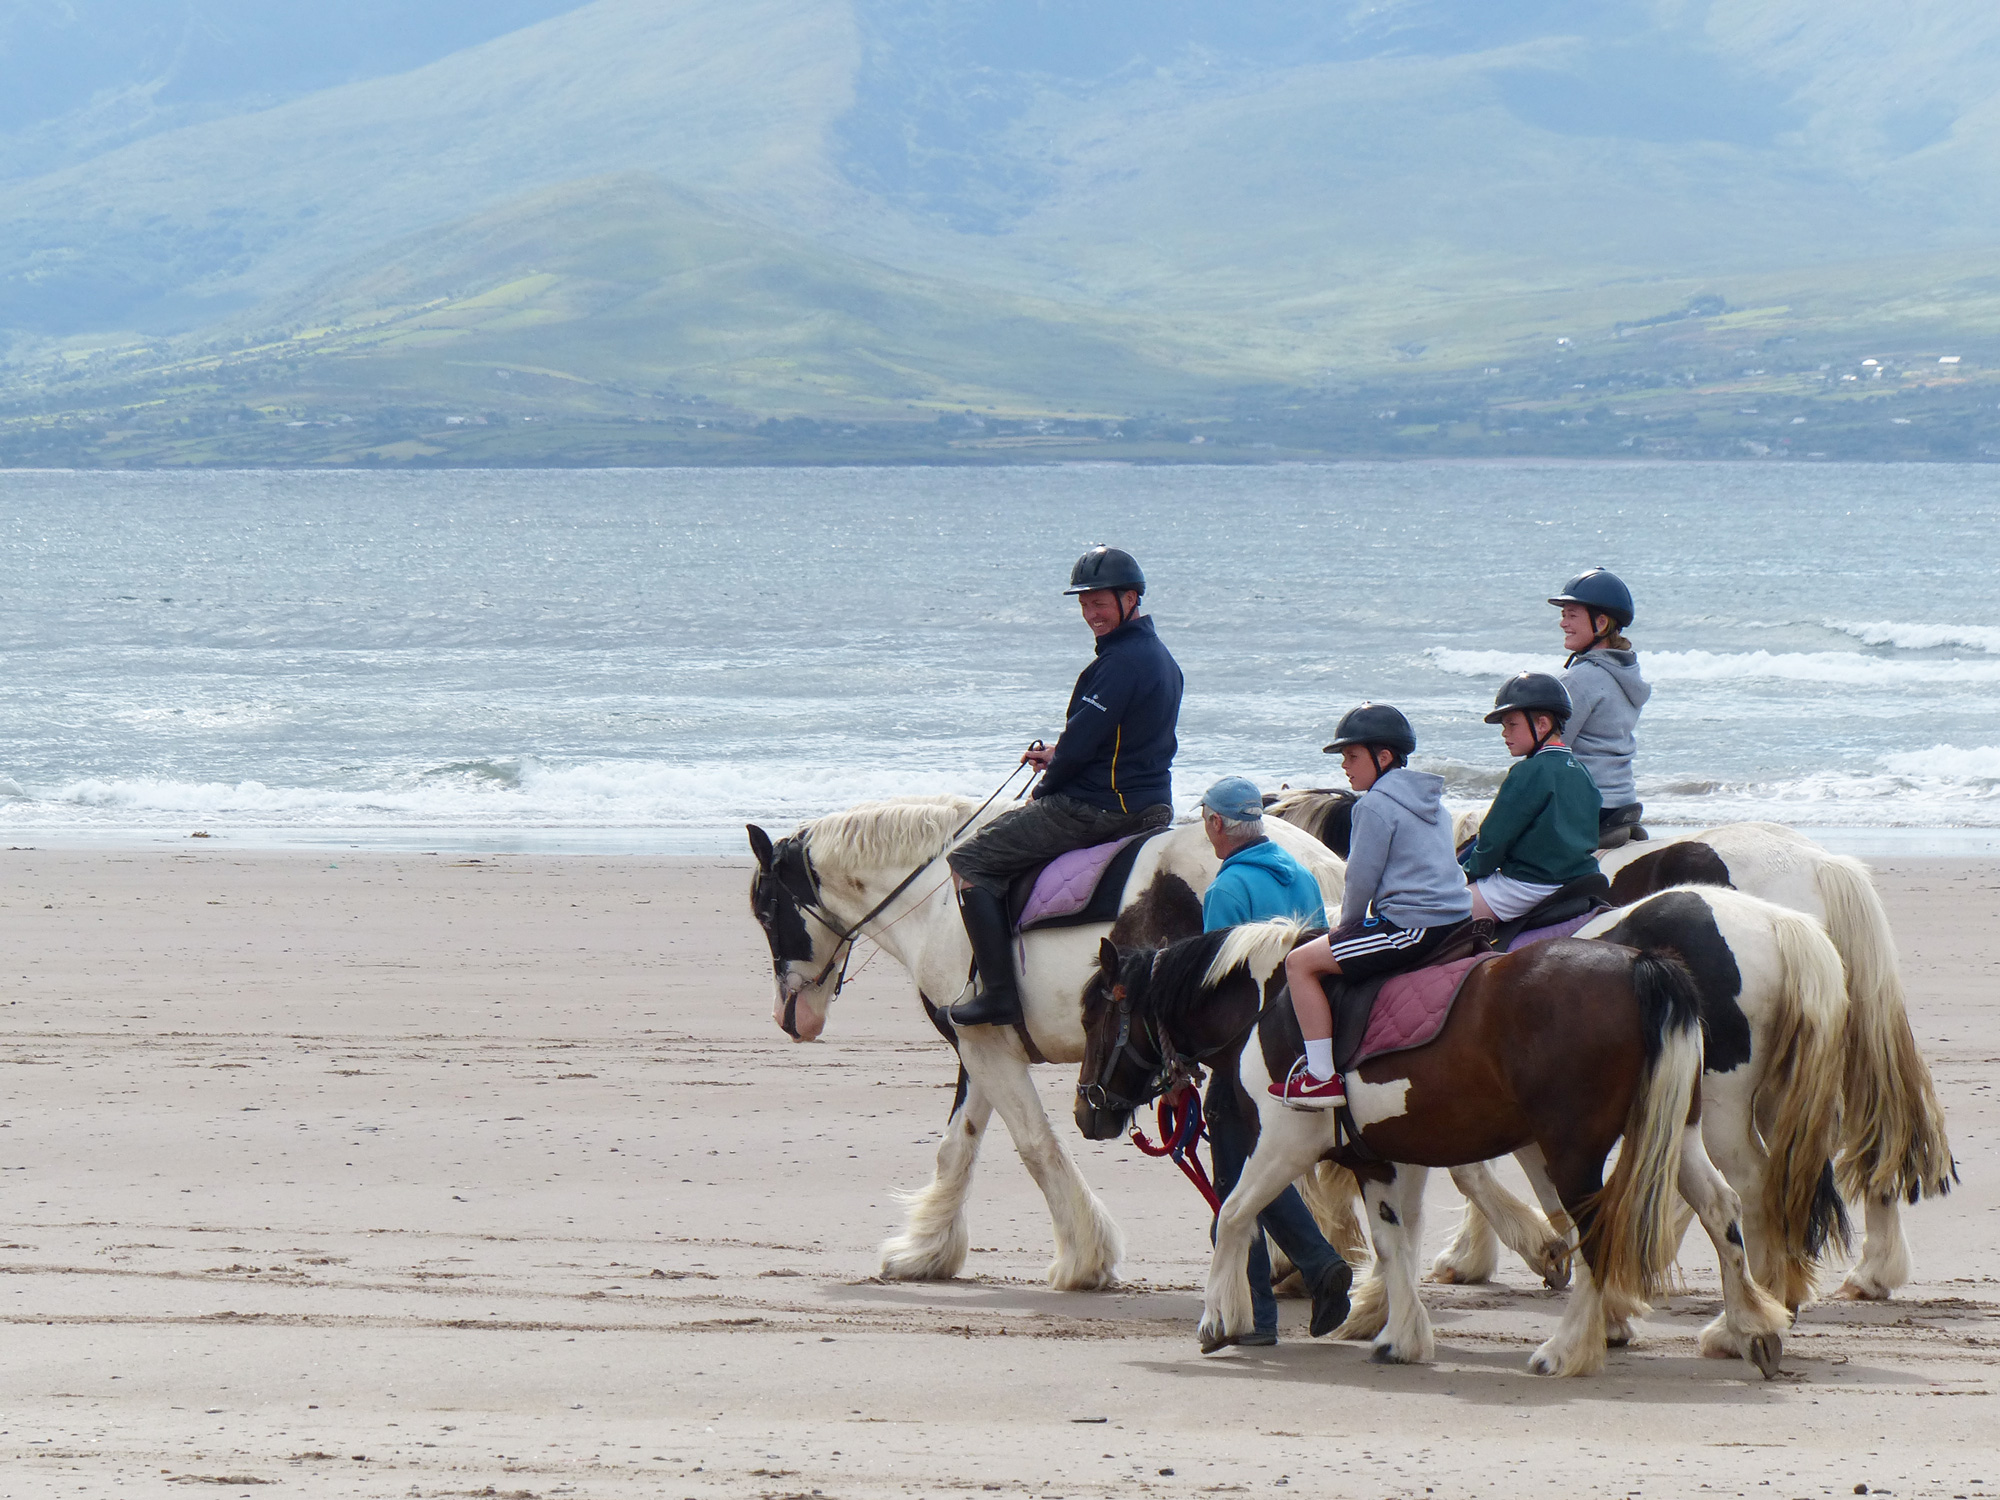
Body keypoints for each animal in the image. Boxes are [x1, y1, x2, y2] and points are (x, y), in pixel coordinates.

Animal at [745, 794, 1345, 1290]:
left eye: (767, 912)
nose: (788, 1017)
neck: (934, 901)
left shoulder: (984, 1045)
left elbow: (1035, 1145)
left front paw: (1084, 1259)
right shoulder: (981, 1050)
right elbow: (956, 1147)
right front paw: (927, 1251)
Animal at [1076, 907, 1793, 1377]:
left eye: (1094, 1014)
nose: (1088, 1111)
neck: (1272, 1003)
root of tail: (1641, 964)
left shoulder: (1287, 1142)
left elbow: (1232, 1215)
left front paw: (1219, 1320)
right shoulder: (1382, 1159)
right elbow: (1394, 1243)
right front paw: (1403, 1337)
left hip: (1574, 1153)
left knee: (1598, 1236)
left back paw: (1566, 1350)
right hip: (1677, 1135)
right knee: (1722, 1212)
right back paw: (1749, 1327)